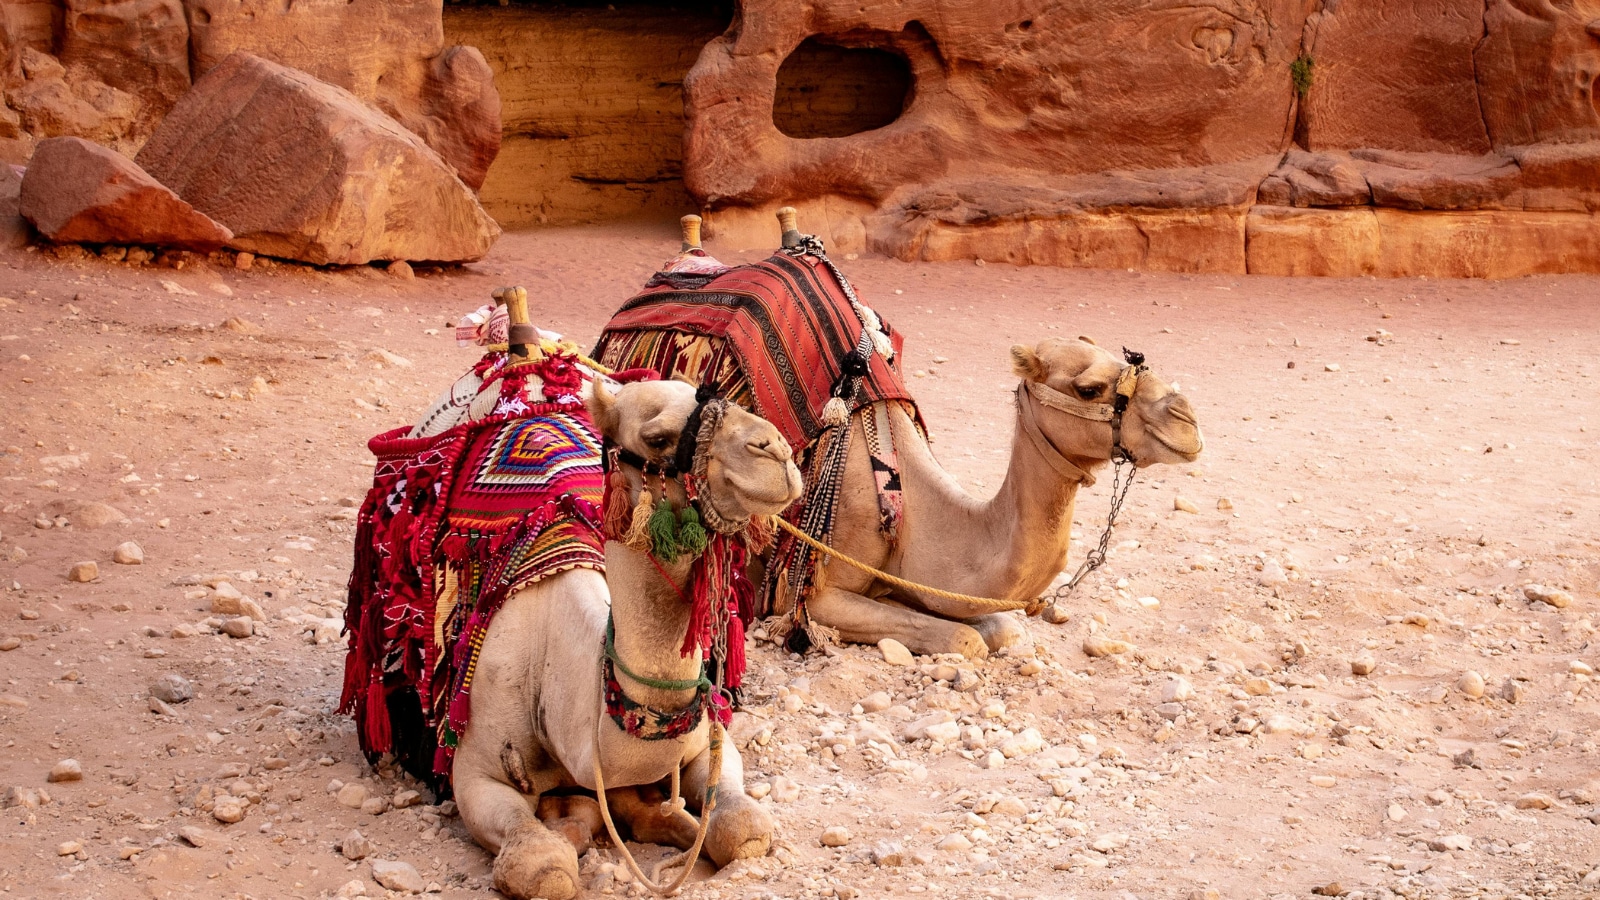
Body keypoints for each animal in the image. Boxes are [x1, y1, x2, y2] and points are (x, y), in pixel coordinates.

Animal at [448, 378, 803, 900]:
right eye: (657, 437)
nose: (775, 450)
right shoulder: (473, 771)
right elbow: (542, 867)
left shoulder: (709, 742)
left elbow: (742, 828)